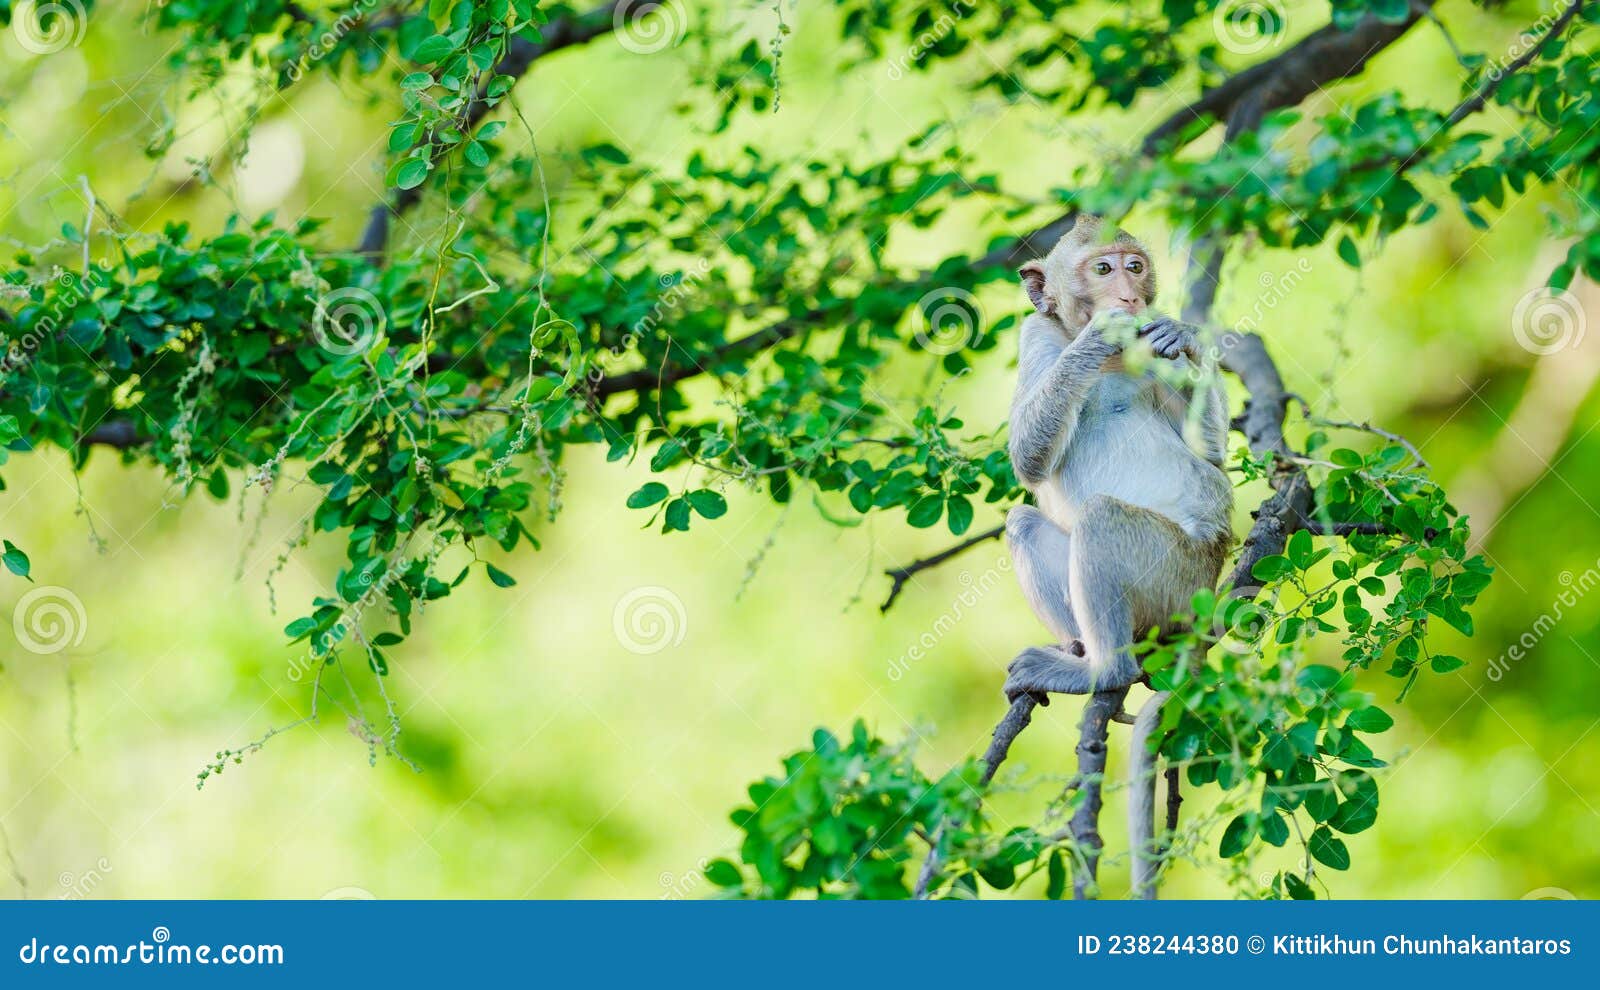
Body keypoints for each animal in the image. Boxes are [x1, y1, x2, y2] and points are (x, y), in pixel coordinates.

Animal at [1002, 215, 1233, 897]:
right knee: (1026, 520)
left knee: (1103, 519)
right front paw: (1094, 339)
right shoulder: (1034, 334)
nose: (1130, 296)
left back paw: (1106, 670)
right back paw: (1085, 656)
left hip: (1177, 569)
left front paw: (1186, 335)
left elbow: (1211, 460)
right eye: (1102, 270)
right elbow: (1028, 457)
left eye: (1134, 266)